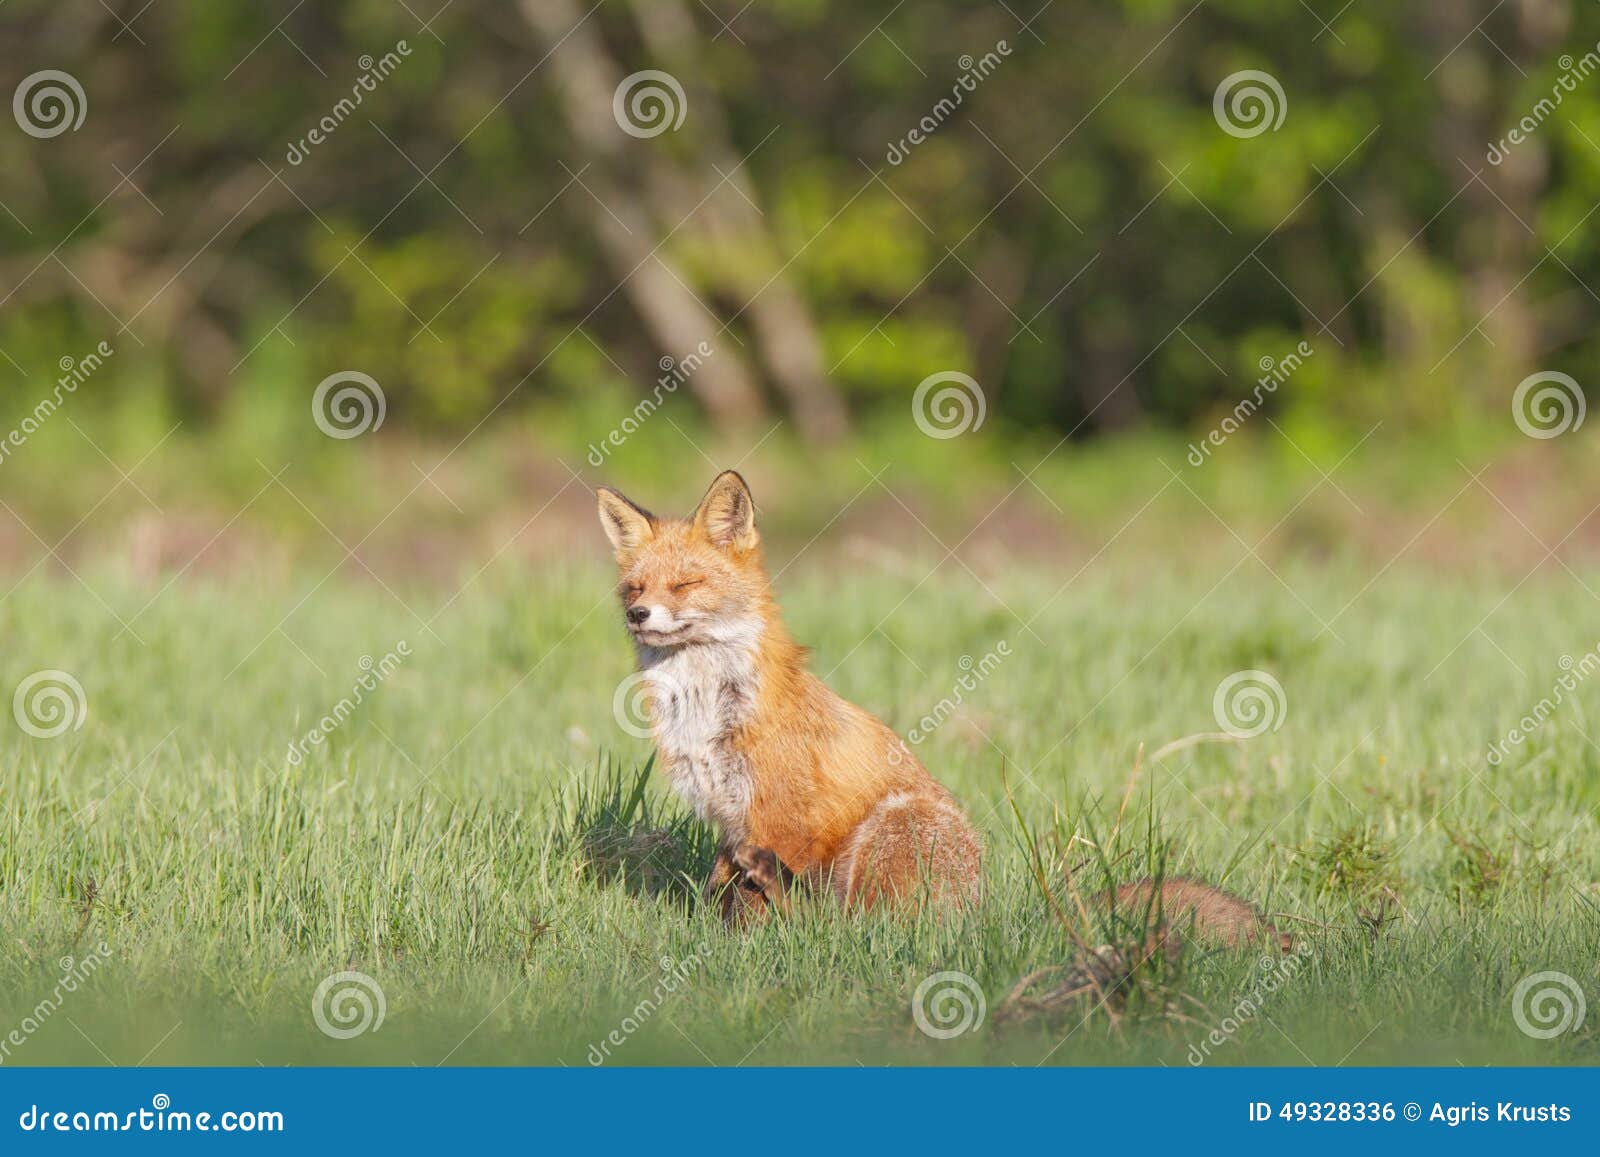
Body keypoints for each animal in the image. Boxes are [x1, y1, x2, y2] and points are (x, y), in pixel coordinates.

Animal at [596, 469, 982, 923]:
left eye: (684, 584)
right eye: (634, 588)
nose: (637, 614)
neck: (704, 708)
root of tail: (979, 902)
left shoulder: (780, 818)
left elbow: (748, 903)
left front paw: (741, 937)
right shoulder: (730, 817)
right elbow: (718, 886)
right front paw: (707, 925)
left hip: (895, 824)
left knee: (849, 925)